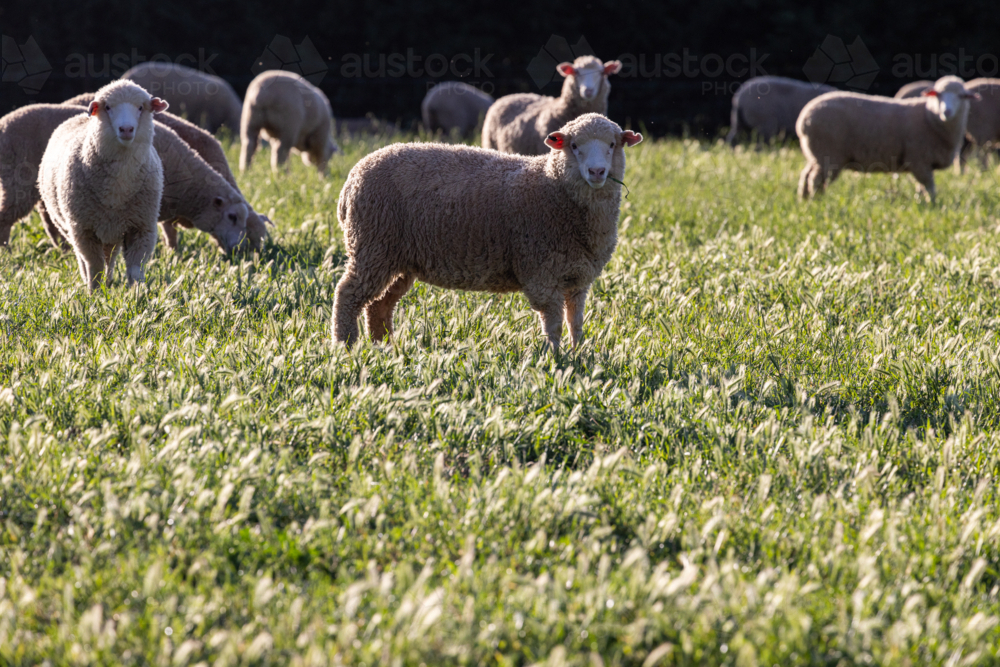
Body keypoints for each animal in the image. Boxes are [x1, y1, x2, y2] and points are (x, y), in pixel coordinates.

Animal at [1, 103, 250, 254]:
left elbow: (169, 231)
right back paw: (7, 249)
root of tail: (4, 122)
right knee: (7, 217)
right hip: (17, 183)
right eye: (232, 217)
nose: (238, 251)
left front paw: (173, 252)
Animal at [38, 80, 168, 289]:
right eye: (108, 107)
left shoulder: (142, 227)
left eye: (141, 107)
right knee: (85, 259)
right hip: (69, 227)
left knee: (111, 257)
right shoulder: (84, 230)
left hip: (113, 231)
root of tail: (77, 117)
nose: (126, 129)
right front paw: (95, 293)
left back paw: (109, 280)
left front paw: (137, 293)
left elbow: (135, 268)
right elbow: (94, 265)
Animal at [332, 113, 642, 353]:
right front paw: (556, 358)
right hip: (373, 246)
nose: (597, 171)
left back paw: (383, 346)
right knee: (347, 294)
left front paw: (579, 353)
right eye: (574, 145)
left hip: (397, 258)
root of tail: (351, 181)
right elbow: (553, 323)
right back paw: (346, 346)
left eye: (612, 145)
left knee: (379, 305)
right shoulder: (542, 273)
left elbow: (575, 322)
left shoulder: (579, 278)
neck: (553, 186)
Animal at [796, 75, 978, 201]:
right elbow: (929, 187)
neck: (930, 117)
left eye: (962, 96)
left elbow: (921, 187)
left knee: (806, 175)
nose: (947, 112)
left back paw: (803, 200)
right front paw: (932, 205)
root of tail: (803, 119)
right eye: (937, 95)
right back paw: (817, 201)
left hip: (816, 155)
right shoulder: (919, 160)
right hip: (829, 154)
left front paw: (922, 203)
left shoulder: (924, 164)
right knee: (815, 180)